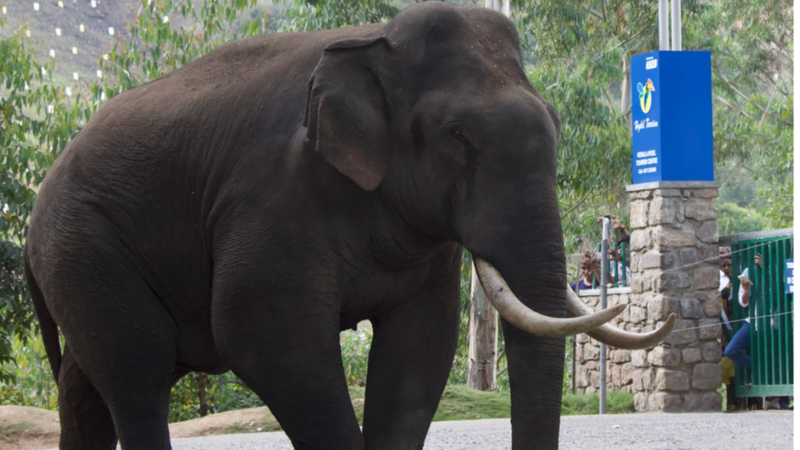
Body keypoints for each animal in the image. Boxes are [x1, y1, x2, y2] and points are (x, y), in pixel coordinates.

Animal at [25, 3, 674, 449]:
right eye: (458, 136)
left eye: (558, 125)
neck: (374, 36)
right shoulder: (273, 196)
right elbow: (261, 332)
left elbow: (420, 347)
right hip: (85, 246)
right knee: (138, 376)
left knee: (85, 388)